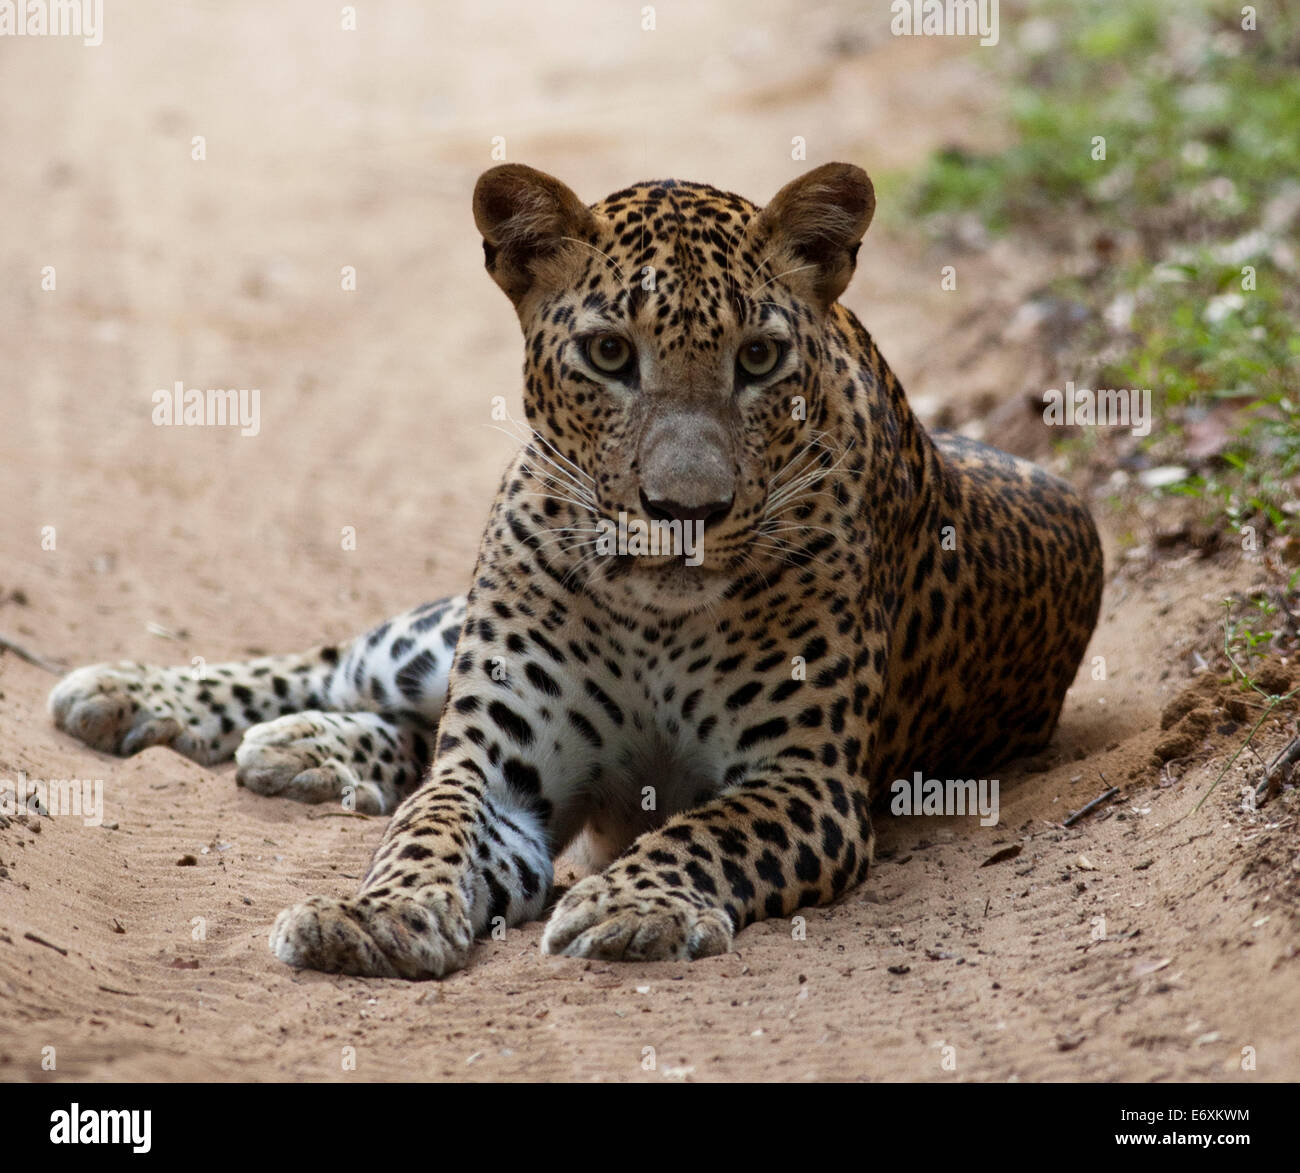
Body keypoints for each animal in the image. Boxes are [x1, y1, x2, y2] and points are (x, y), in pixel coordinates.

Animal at [49, 162, 1104, 978]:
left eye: (761, 358)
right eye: (608, 352)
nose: (685, 512)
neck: (655, 617)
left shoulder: (806, 781)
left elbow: (710, 828)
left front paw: (628, 905)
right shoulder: (497, 769)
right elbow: (430, 823)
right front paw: (380, 916)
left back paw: (309, 749)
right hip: (438, 631)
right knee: (351, 663)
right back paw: (147, 697)